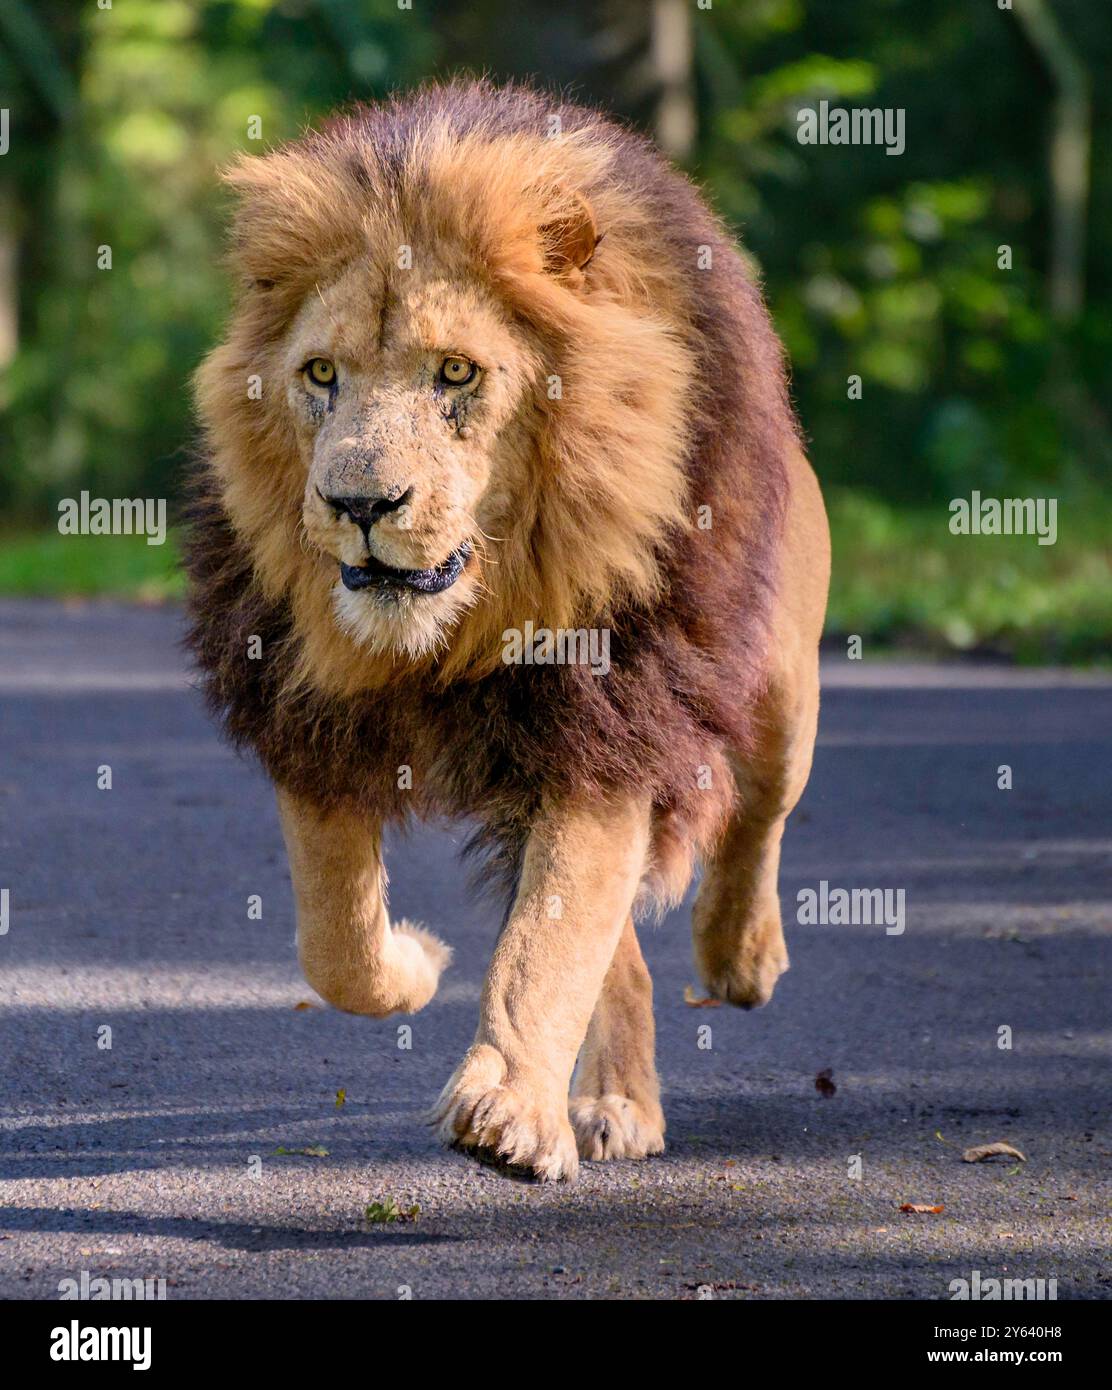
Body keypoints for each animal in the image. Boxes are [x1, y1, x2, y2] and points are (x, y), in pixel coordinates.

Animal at [186, 80, 830, 1181]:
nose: (360, 504)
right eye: (321, 374)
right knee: (620, 955)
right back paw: (613, 1102)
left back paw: (737, 958)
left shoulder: (608, 713)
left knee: (759, 812)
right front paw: (415, 964)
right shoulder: (307, 713)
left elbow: (546, 943)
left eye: (456, 373)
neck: (456, 625)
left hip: (780, 681)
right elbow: (336, 937)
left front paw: (506, 1114)